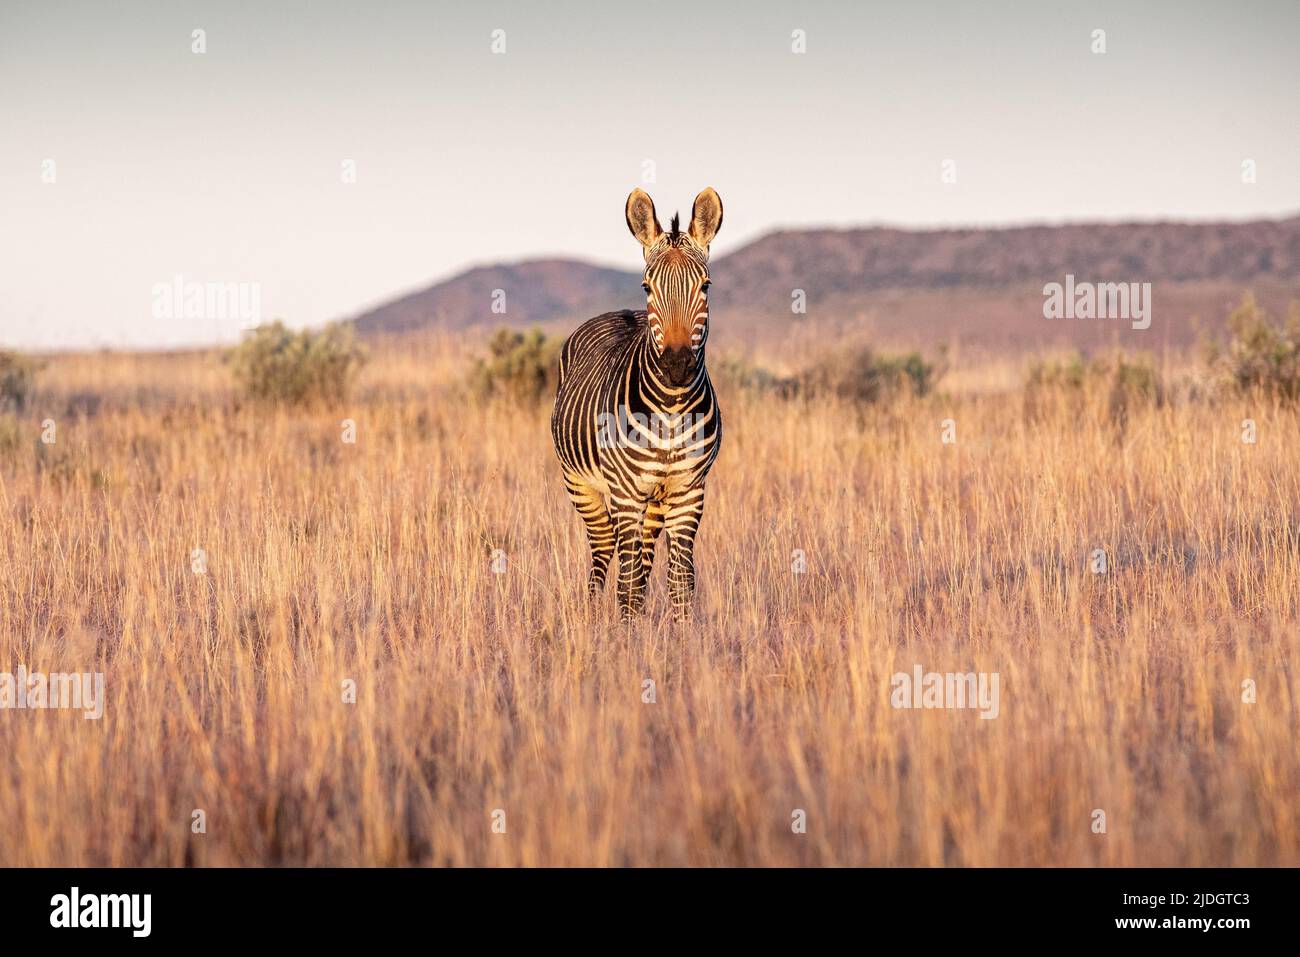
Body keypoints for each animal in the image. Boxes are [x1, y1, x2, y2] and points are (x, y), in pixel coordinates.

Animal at [551, 187, 724, 621]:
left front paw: (682, 637)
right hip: (580, 484)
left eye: (706, 286)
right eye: (647, 287)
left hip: (654, 504)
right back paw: (593, 615)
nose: (677, 366)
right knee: (604, 550)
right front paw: (625, 635)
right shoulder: (626, 495)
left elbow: (681, 583)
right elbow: (625, 584)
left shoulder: (688, 493)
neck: (672, 412)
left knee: (643, 560)